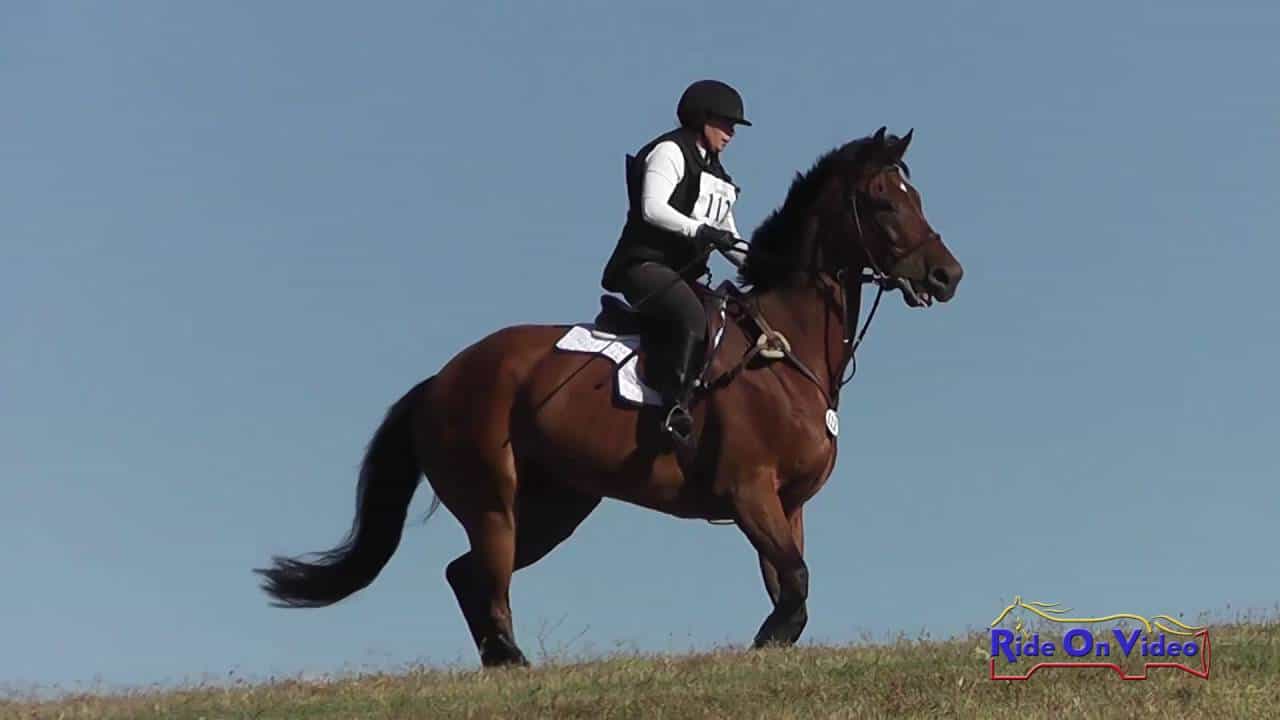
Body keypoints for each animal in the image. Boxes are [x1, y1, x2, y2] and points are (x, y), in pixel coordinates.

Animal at [255, 127, 964, 667]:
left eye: (917, 196)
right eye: (883, 203)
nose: (947, 275)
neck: (783, 350)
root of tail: (441, 379)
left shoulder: (786, 504)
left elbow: (789, 584)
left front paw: (772, 646)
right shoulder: (749, 491)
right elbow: (794, 584)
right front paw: (763, 643)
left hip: (559, 504)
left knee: (467, 573)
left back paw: (504, 663)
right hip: (492, 496)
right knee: (485, 572)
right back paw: (511, 660)